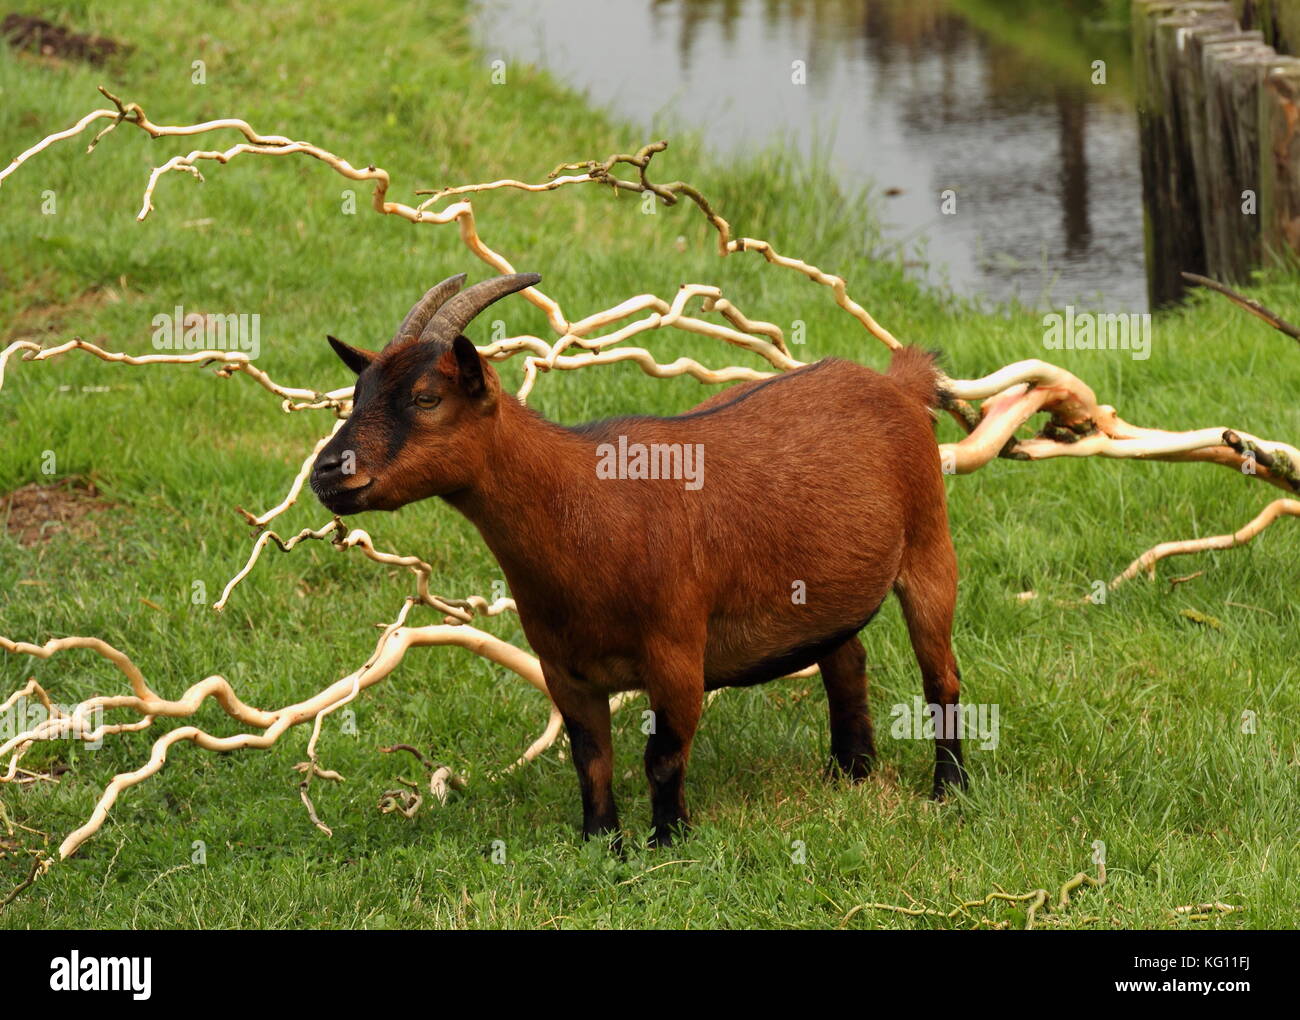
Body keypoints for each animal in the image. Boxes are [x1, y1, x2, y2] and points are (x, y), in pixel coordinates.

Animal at [310, 272, 967, 847]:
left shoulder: (677, 652)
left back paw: (949, 790)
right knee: (846, 661)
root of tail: (897, 384)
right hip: (825, 591)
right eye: (357, 395)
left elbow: (663, 755)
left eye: (426, 398)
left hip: (931, 548)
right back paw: (850, 773)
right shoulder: (563, 668)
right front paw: (602, 843)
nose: (326, 473)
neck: (590, 508)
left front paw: (669, 840)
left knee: (942, 675)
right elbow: (591, 758)